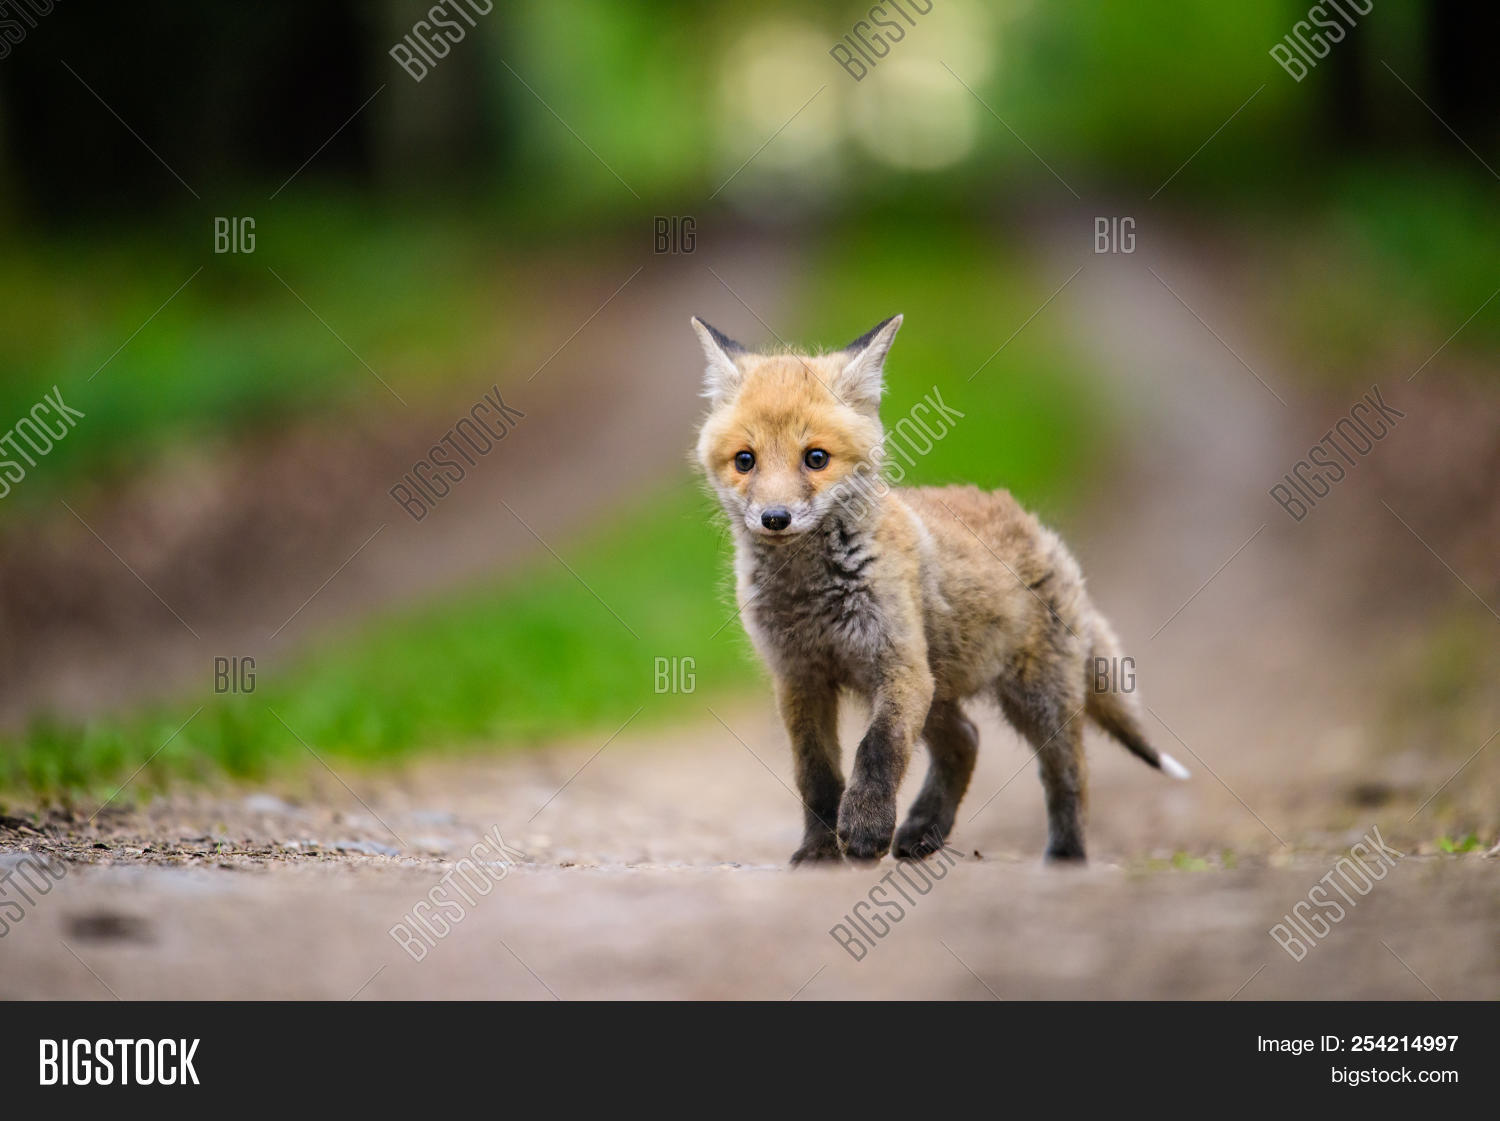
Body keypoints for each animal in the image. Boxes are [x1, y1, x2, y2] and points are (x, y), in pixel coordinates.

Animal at [691, 313, 1190, 865]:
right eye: (745, 460)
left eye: (815, 458)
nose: (774, 518)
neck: (811, 594)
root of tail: (1037, 528)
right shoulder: (800, 678)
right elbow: (815, 774)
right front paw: (820, 852)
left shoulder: (899, 665)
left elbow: (878, 749)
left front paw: (863, 830)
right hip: (941, 687)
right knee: (966, 741)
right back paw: (924, 831)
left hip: (1035, 697)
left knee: (1068, 773)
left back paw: (1066, 857)